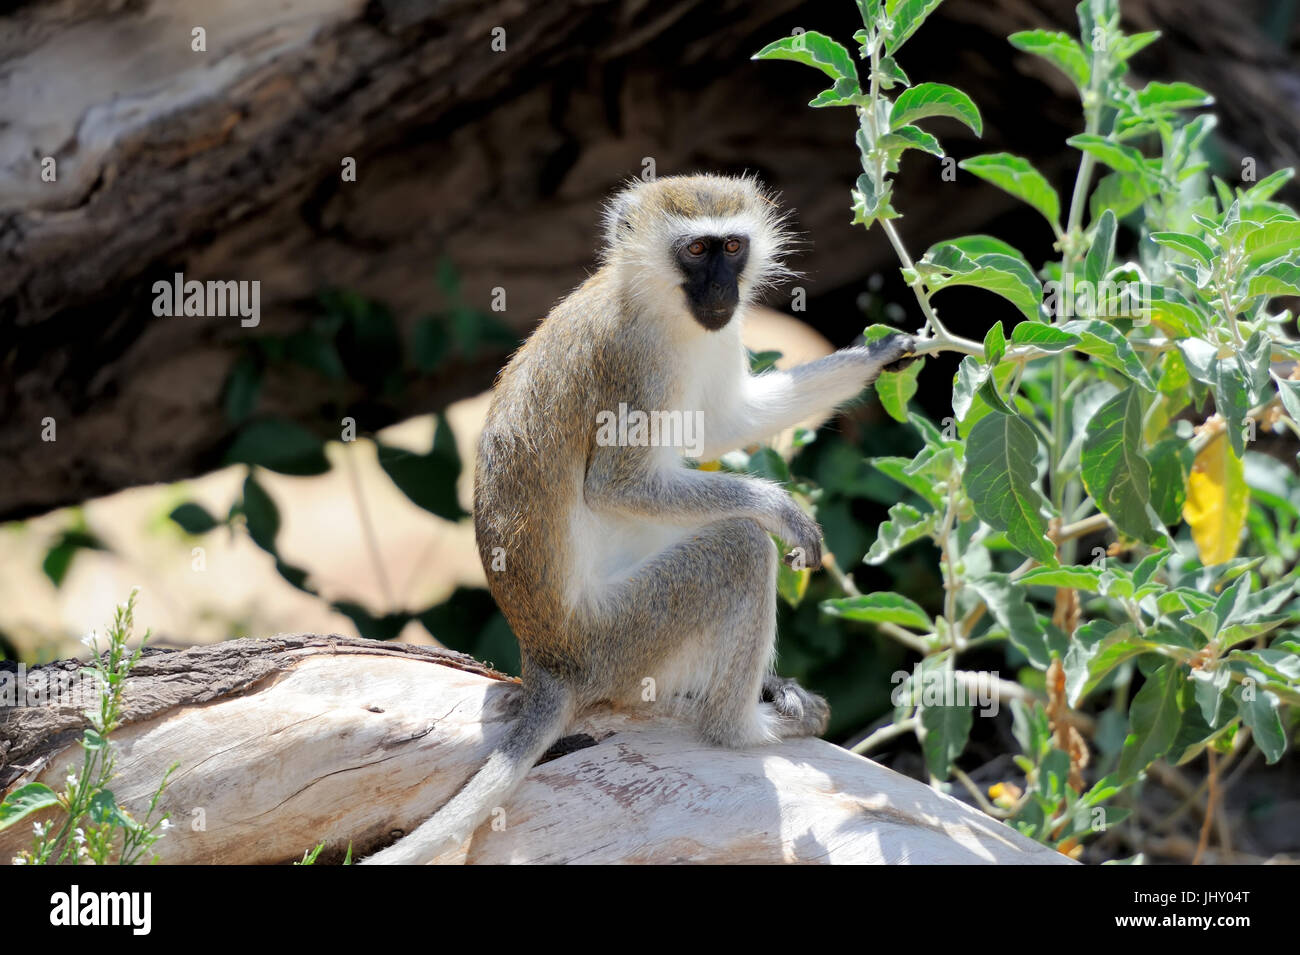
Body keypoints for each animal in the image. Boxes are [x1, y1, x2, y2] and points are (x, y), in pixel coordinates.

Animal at [362, 173, 915, 864]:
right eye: (697, 251)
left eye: (733, 246)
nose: (722, 291)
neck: (657, 301)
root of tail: (549, 661)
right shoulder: (634, 362)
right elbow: (617, 485)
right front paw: (780, 508)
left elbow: (725, 424)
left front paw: (879, 353)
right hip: (624, 639)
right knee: (737, 549)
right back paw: (742, 727)